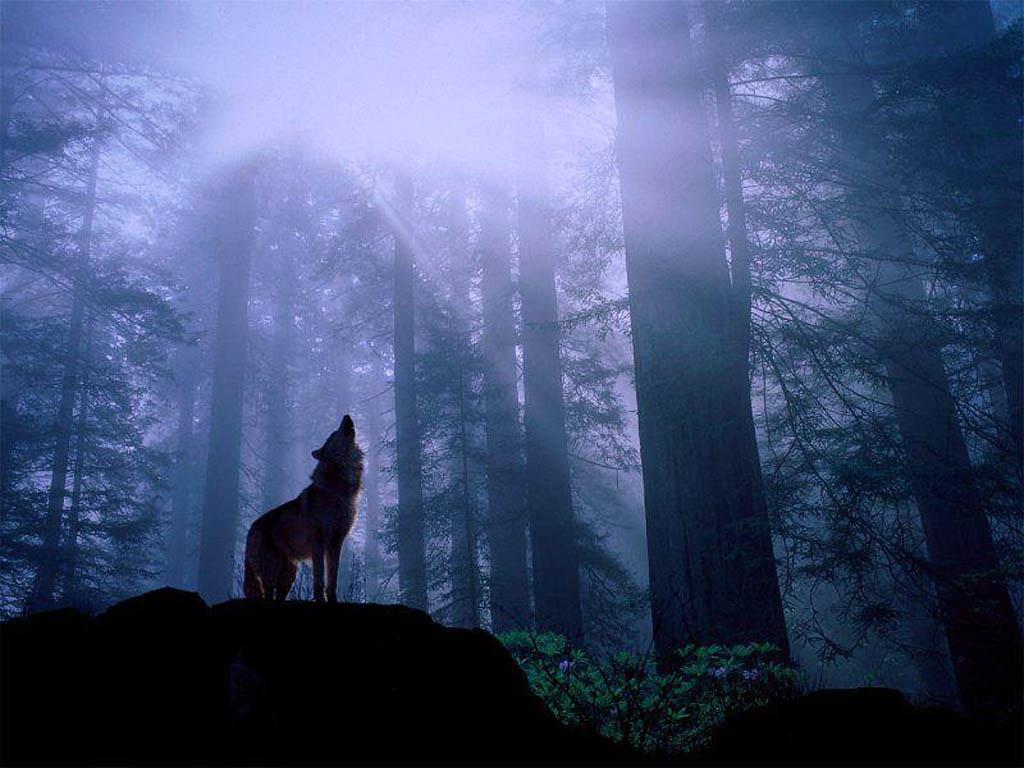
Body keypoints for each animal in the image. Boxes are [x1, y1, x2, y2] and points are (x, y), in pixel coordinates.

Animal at [243, 414, 364, 602]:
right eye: (333, 433)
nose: (346, 415)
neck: (339, 489)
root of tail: (252, 528)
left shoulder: (336, 544)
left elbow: (332, 581)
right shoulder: (319, 544)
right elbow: (319, 581)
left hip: (289, 575)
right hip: (270, 574)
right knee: (268, 595)